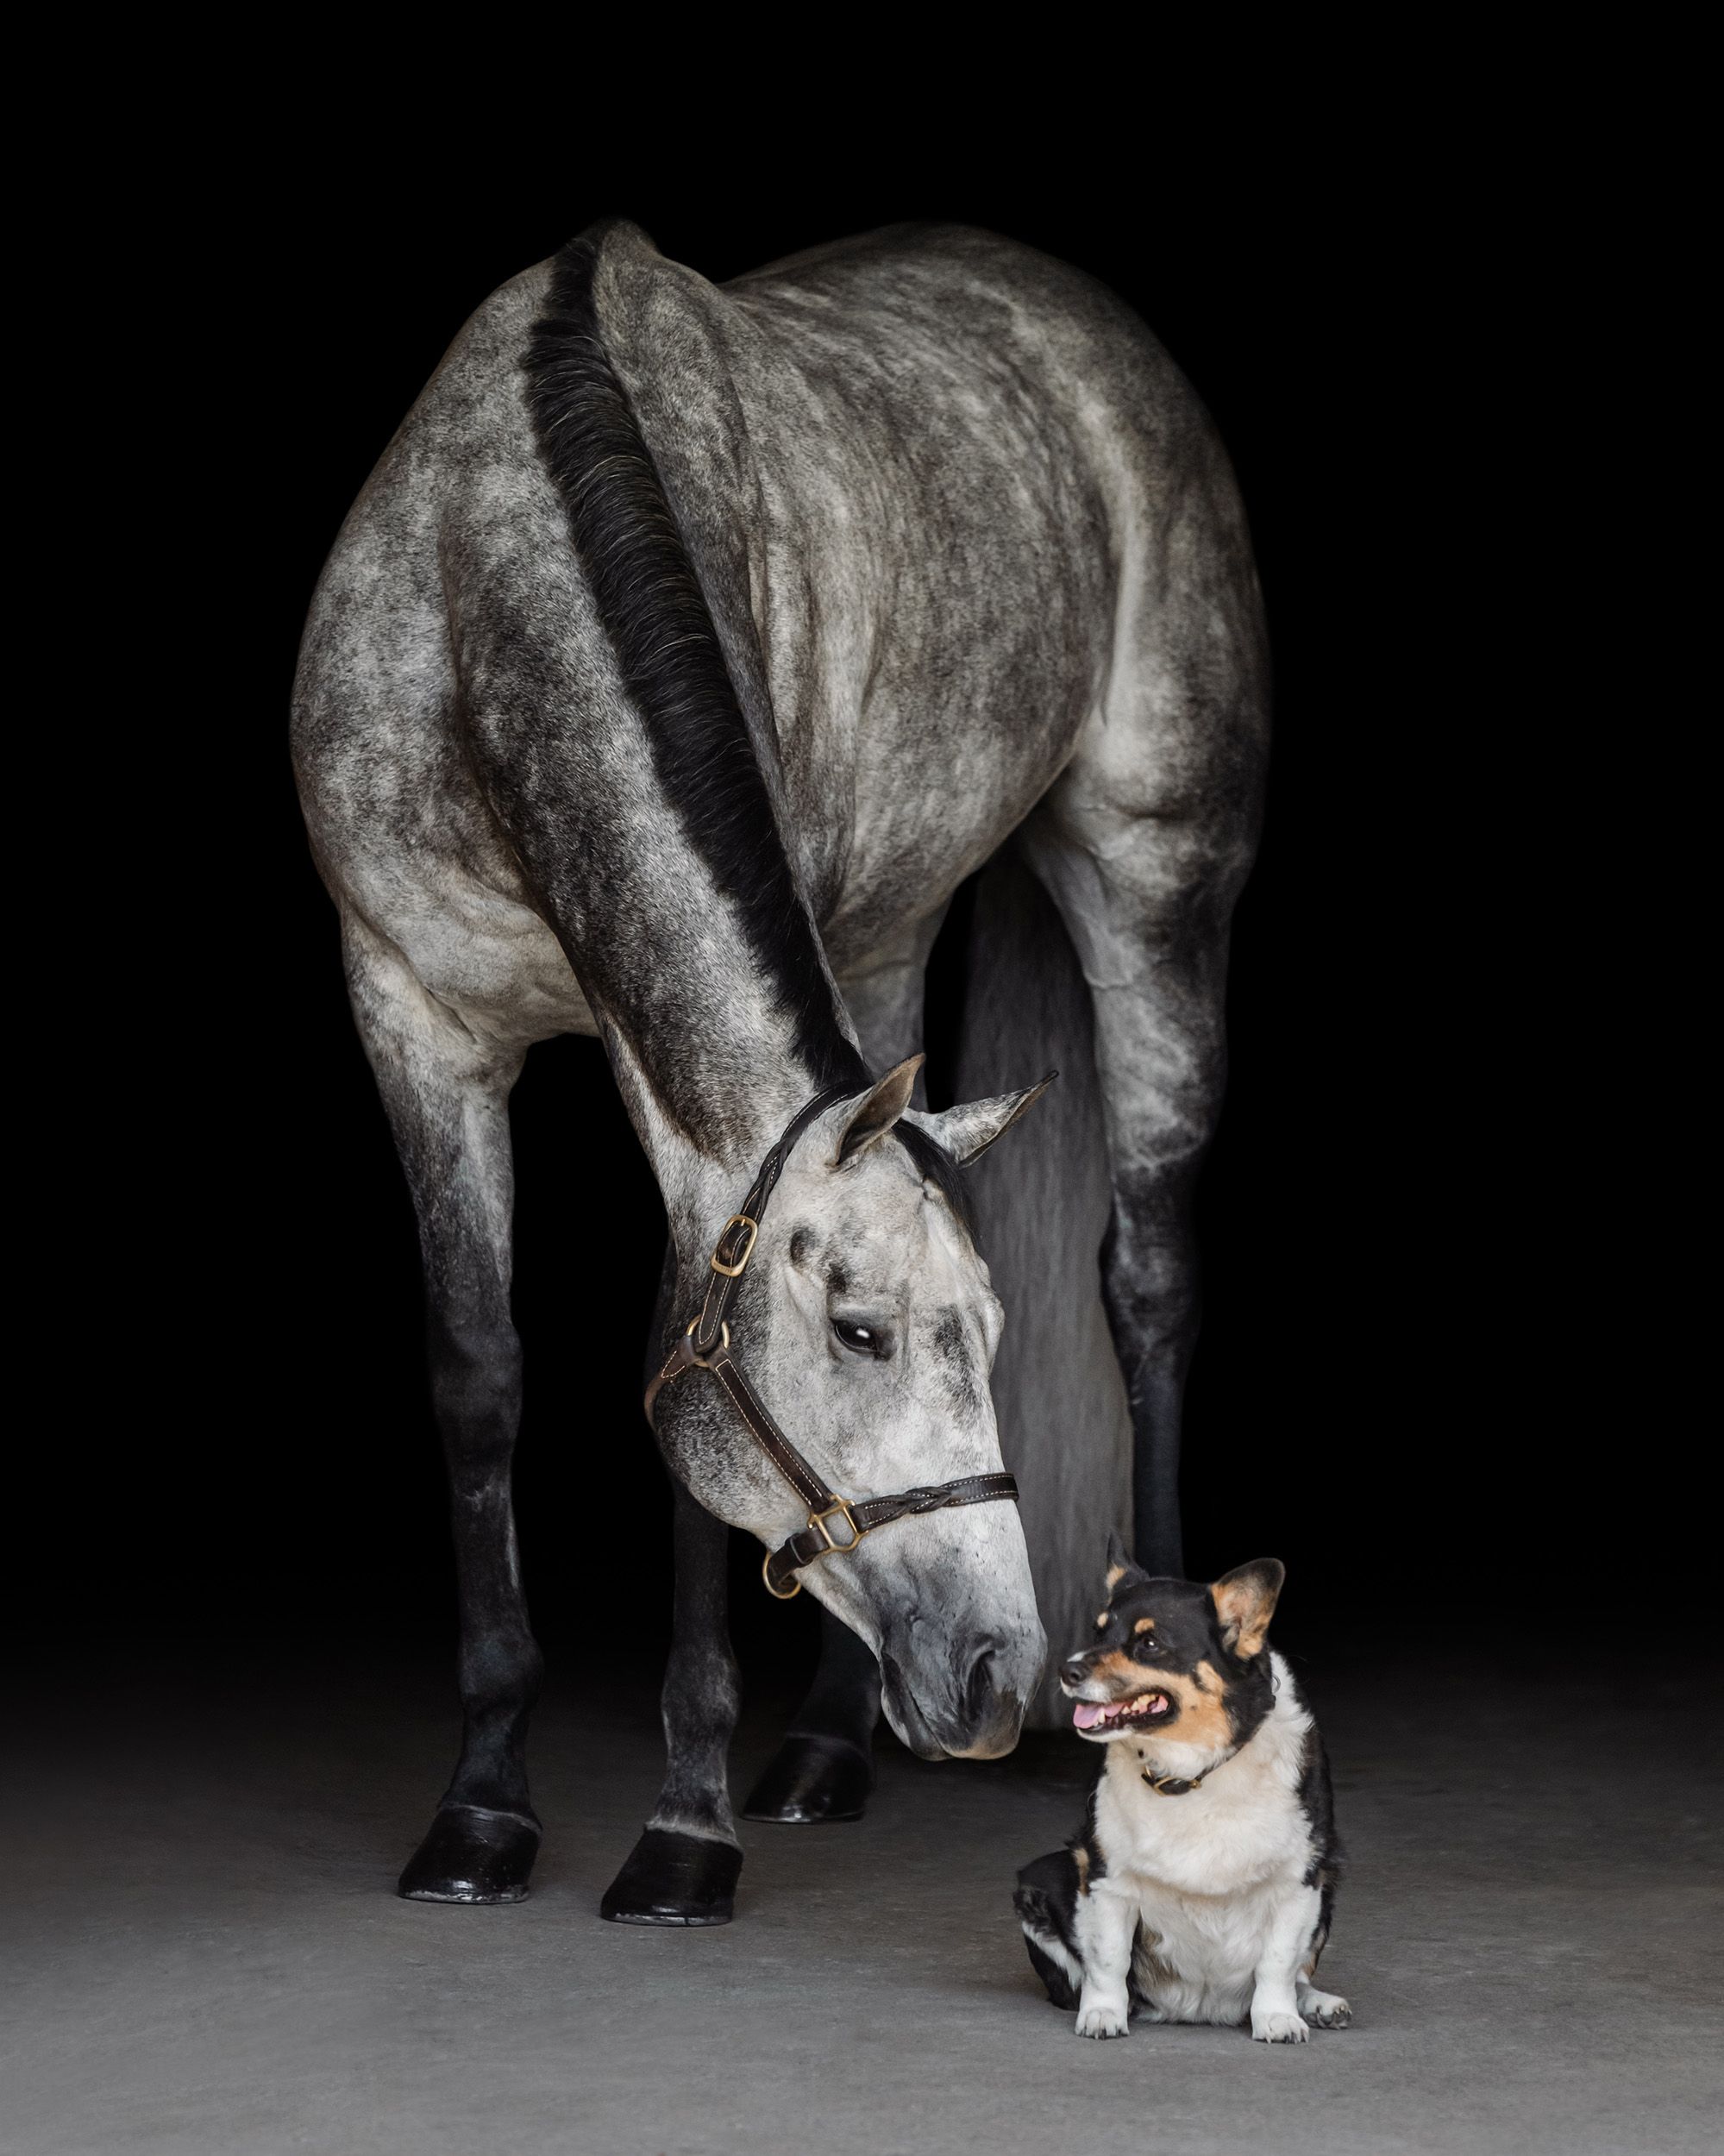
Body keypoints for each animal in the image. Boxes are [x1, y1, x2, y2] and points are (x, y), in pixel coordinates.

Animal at [291, 218, 1267, 1923]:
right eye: (861, 1332)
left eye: (977, 1337)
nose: (1000, 1668)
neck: (485, 579)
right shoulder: (410, 1016)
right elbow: (478, 1379)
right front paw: (483, 1804)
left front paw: (682, 1826)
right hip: (881, 941)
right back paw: (821, 1745)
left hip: (1157, 892)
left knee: (1149, 1286)